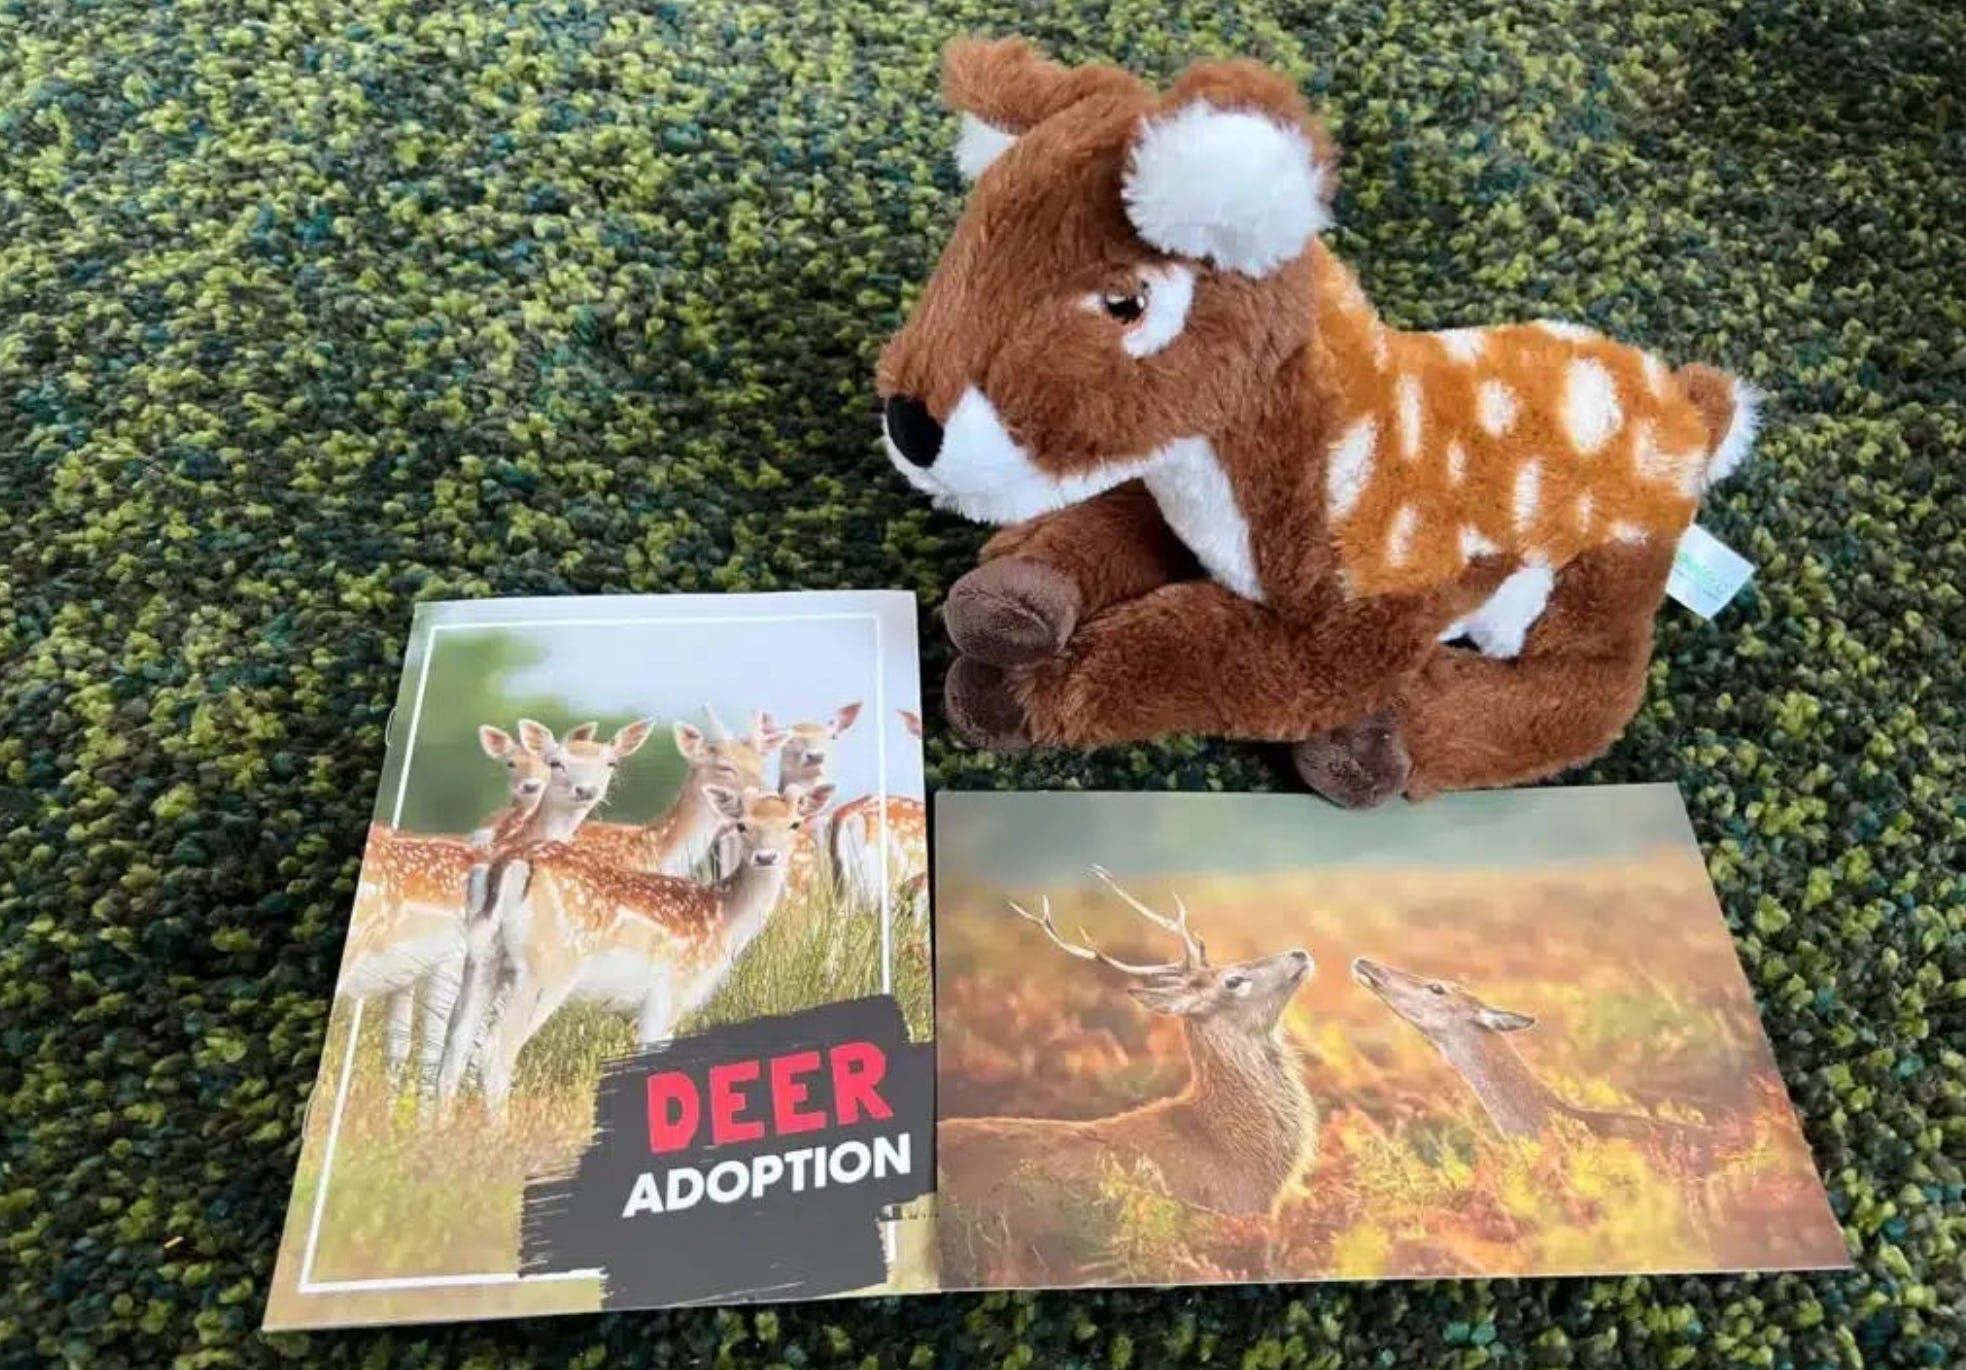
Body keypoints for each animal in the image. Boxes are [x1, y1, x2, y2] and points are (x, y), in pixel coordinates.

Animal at [339, 719, 652, 1089]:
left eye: (611, 762)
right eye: (556, 761)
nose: (585, 790)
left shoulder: (410, 977)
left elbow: (400, 1047)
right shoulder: (454, 959)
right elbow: (438, 1043)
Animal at [435, 783, 835, 1113]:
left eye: (794, 823)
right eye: (742, 825)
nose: (766, 857)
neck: (721, 922)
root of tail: (505, 864)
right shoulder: (670, 991)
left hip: (484, 959)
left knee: (454, 1046)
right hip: (547, 967)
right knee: (496, 1049)